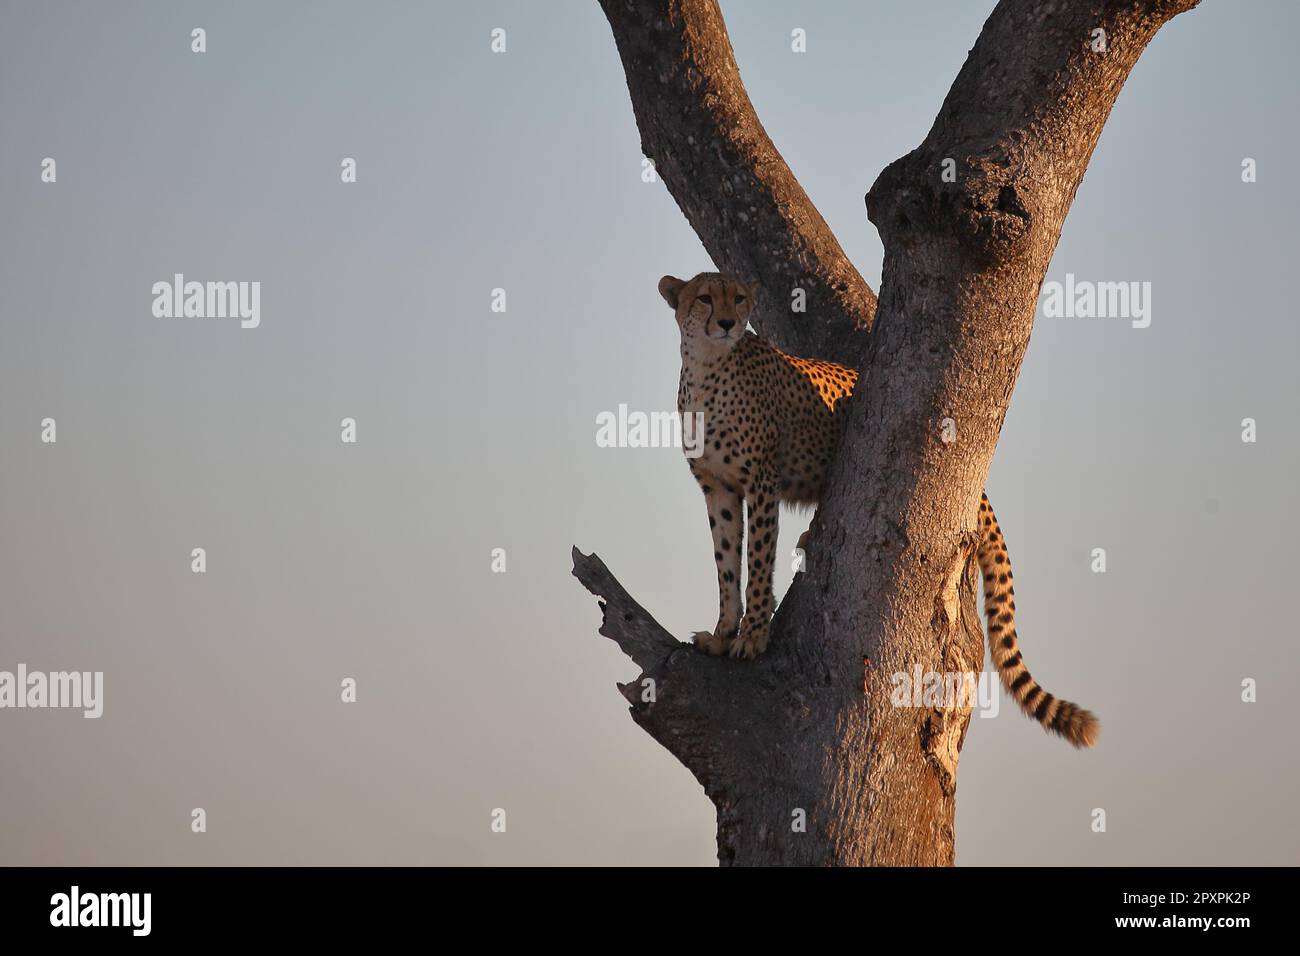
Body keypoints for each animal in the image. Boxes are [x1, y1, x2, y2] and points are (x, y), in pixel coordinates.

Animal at [659, 271, 1098, 747]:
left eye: (738, 298)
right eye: (705, 298)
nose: (725, 323)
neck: (707, 368)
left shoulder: (761, 482)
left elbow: (757, 564)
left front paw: (753, 636)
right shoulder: (719, 489)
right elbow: (726, 566)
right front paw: (723, 633)